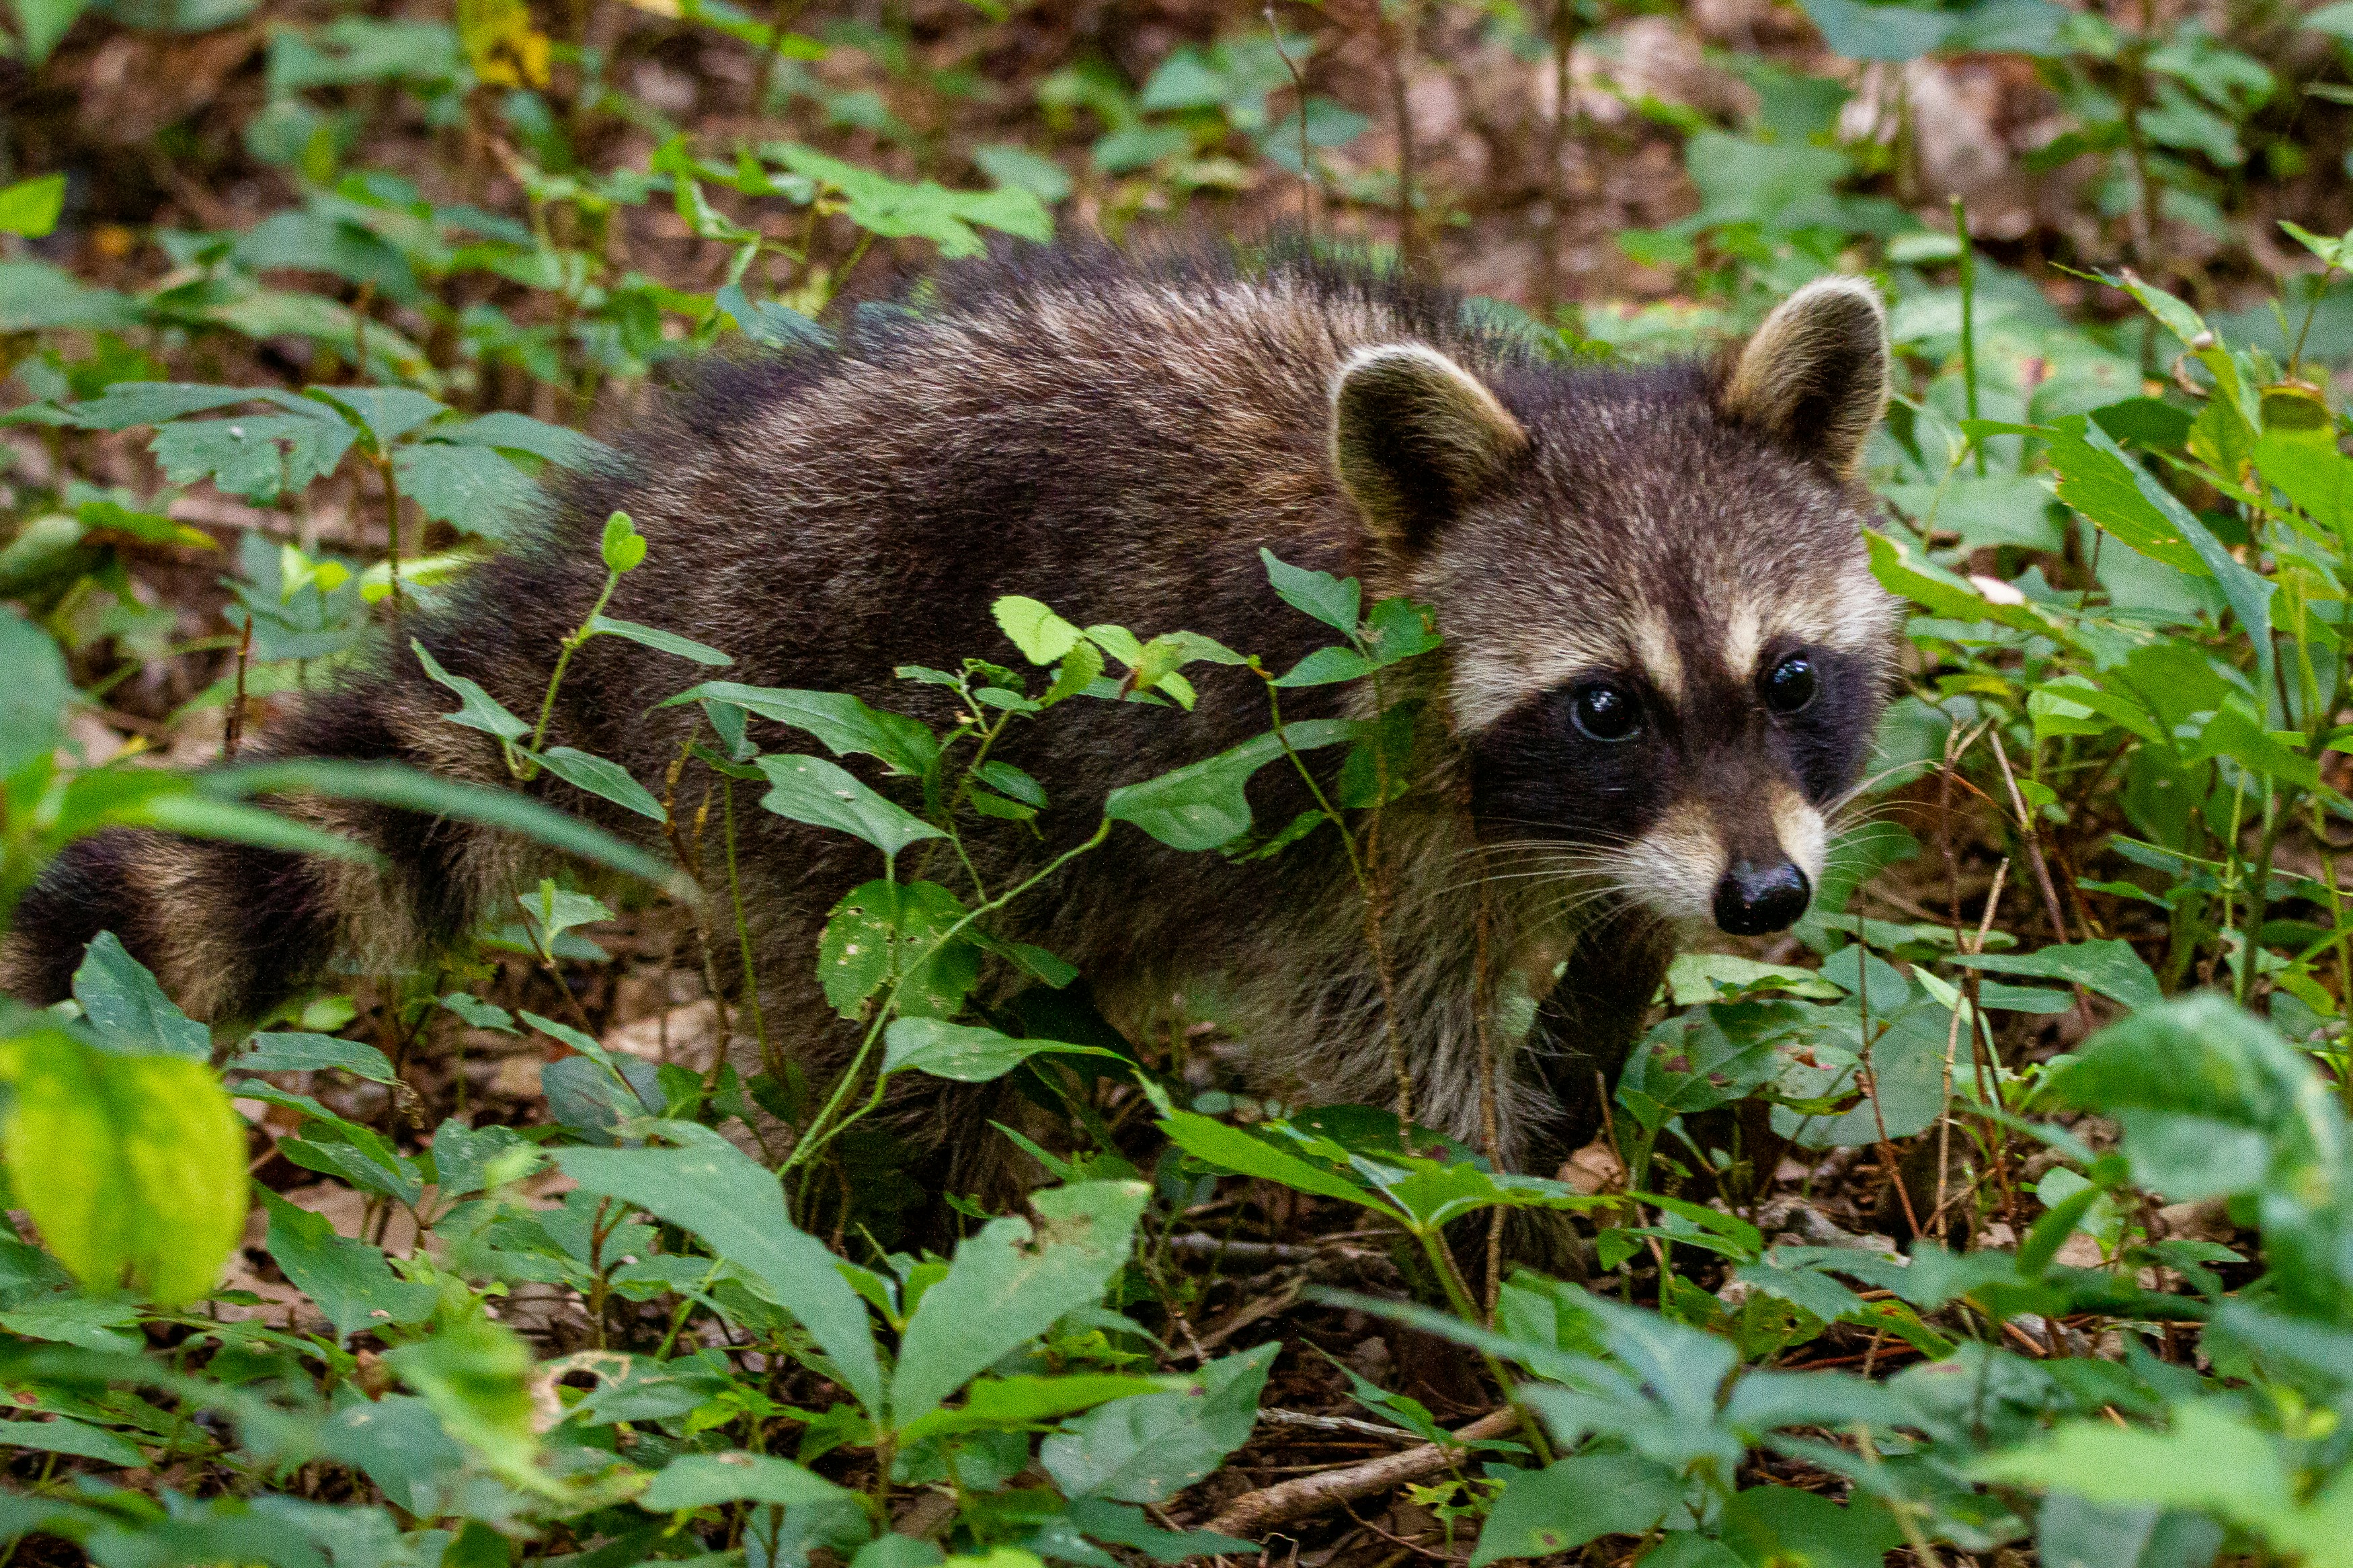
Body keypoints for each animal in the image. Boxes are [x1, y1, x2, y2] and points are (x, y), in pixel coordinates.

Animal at [1, 244, 1896, 1195]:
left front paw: (1608, 1008)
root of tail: (653, 543)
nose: (1766, 898)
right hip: (811, 743)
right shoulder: (1301, 792)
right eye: (1605, 705)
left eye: (1788, 679)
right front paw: (1486, 1188)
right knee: (889, 1023)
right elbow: (1370, 1023)